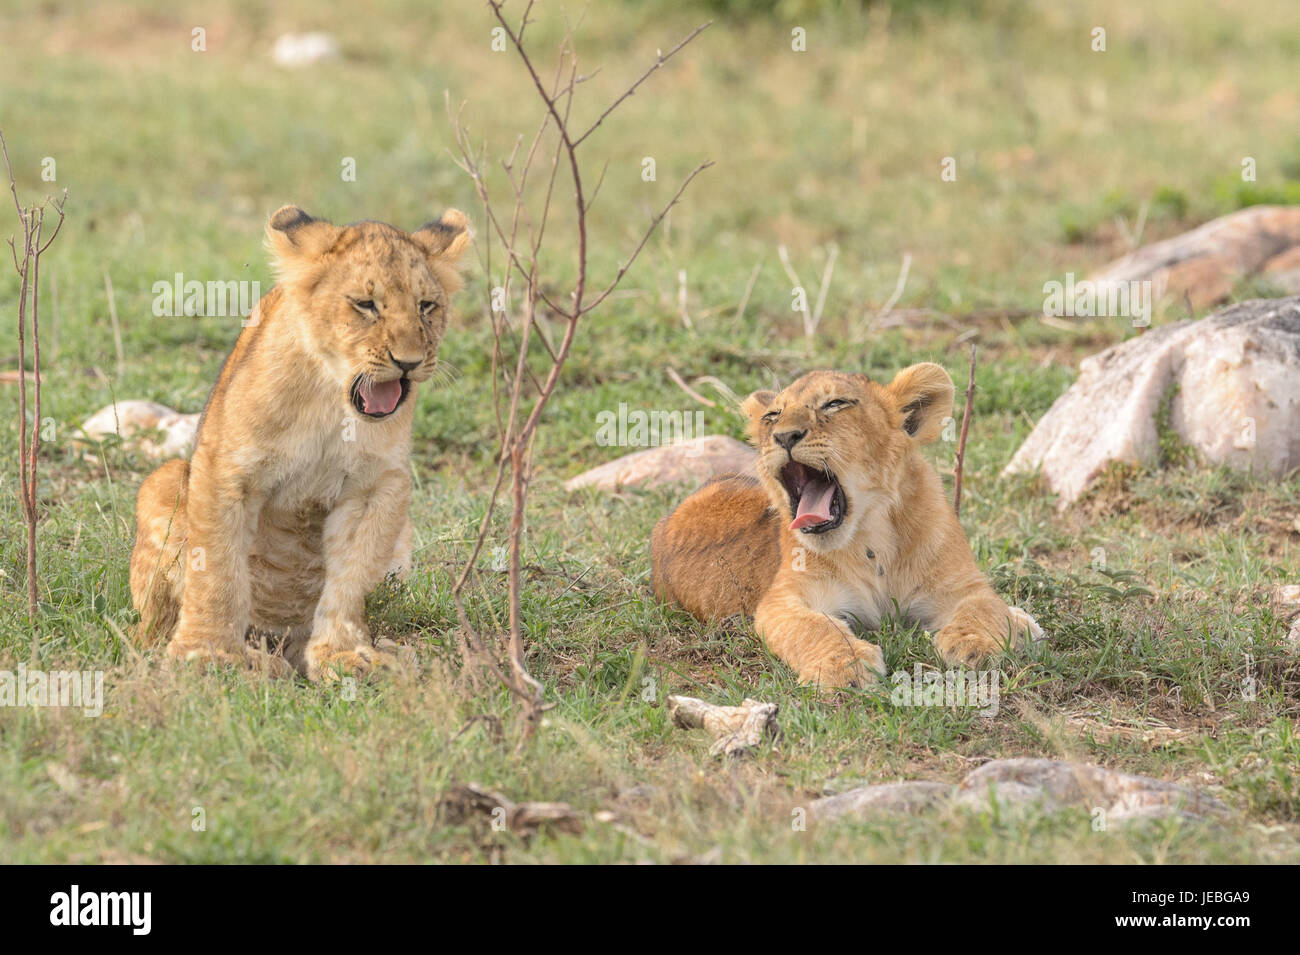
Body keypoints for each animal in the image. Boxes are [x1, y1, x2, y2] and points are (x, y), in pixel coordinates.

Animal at [129, 205, 469, 681]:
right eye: (366, 305)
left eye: (427, 306)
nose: (409, 362)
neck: (333, 401)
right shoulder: (226, 471)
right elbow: (216, 569)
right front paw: (208, 653)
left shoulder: (378, 485)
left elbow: (350, 578)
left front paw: (343, 655)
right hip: (164, 480)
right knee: (153, 631)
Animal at [651, 364, 1044, 687]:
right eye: (773, 415)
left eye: (835, 403)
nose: (784, 436)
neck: (872, 538)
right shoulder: (783, 599)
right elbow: (813, 628)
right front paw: (845, 667)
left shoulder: (960, 585)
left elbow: (983, 608)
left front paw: (975, 646)